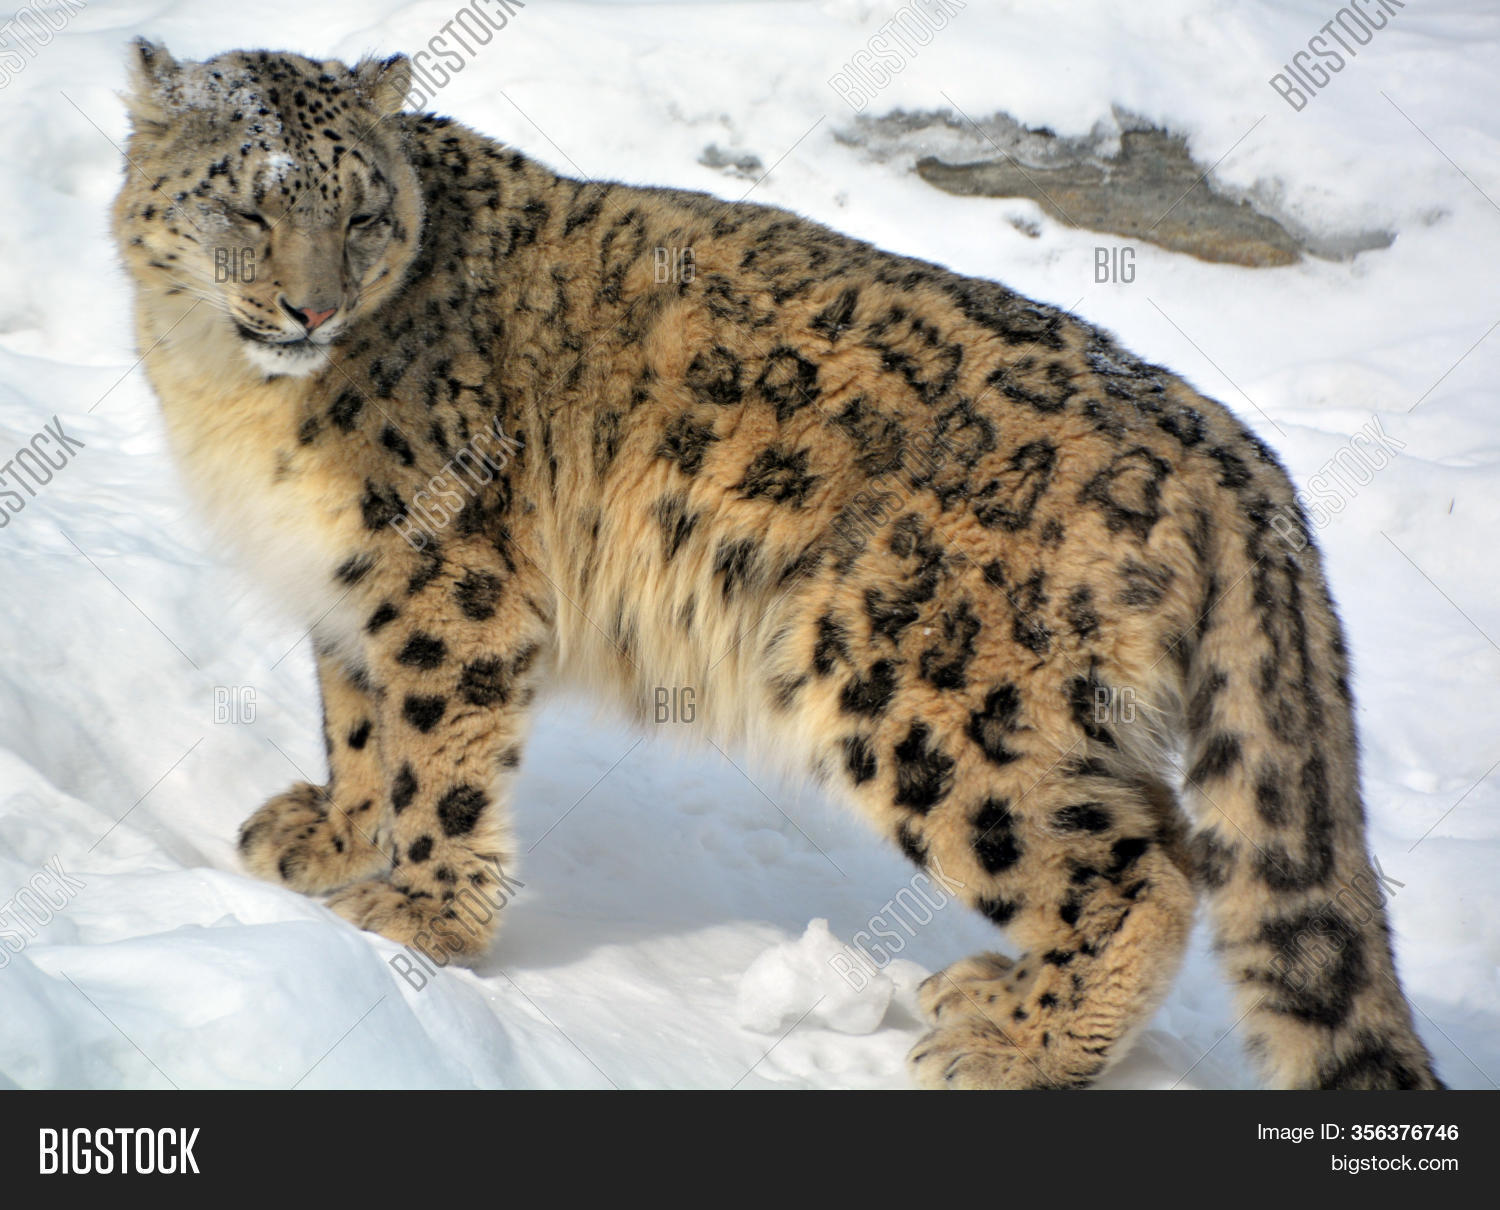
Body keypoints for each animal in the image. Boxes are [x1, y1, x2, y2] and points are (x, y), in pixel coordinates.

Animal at [111, 38, 1442, 1089]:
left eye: (363, 213)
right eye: (249, 208)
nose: (312, 309)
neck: (226, 390)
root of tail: (1219, 437)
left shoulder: (445, 578)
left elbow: (435, 750)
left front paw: (415, 922)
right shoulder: (343, 586)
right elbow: (358, 718)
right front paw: (328, 834)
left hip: (924, 691)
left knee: (1142, 868)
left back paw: (1007, 1045)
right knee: (1154, 828)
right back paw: (1001, 997)